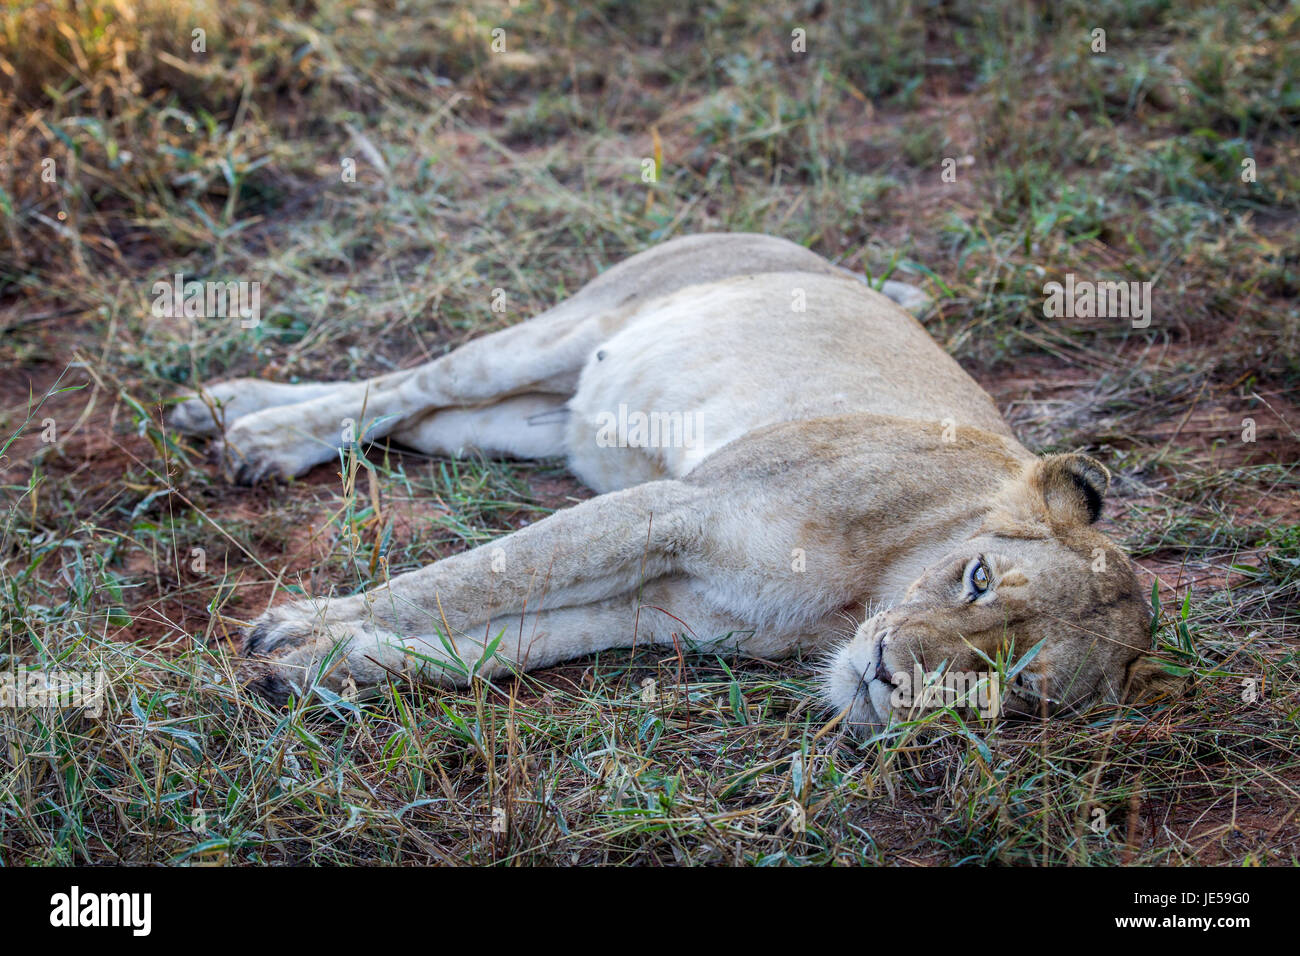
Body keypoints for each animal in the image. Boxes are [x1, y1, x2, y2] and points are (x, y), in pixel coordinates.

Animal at [170, 233, 1181, 732]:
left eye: (1022, 687)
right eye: (977, 579)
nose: (891, 675)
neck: (863, 598)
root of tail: (816, 253)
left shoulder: (668, 611)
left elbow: (492, 644)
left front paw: (318, 668)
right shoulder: (676, 508)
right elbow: (460, 582)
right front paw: (298, 627)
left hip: (535, 421)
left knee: (420, 417)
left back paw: (224, 411)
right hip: (564, 332)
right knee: (412, 382)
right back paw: (248, 428)